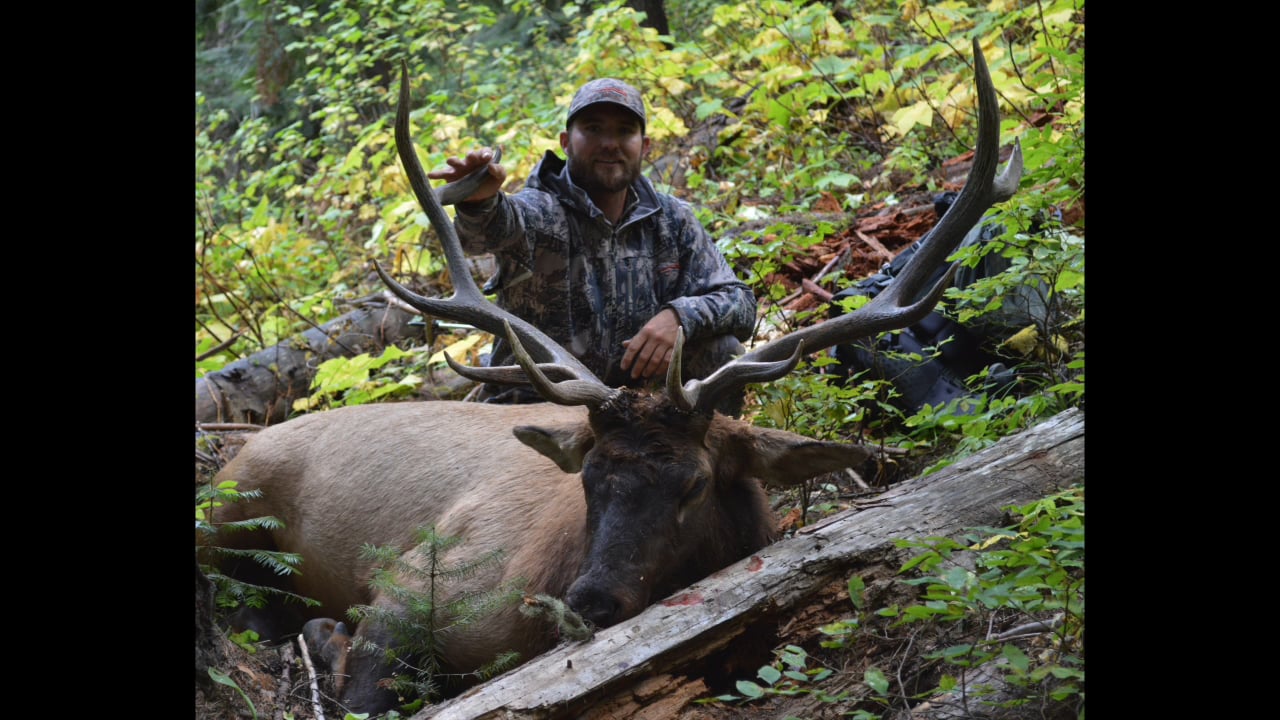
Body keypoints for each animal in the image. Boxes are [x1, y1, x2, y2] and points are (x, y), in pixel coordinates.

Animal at [204, 39, 1022, 714]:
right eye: (589, 479)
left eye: (694, 484)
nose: (586, 602)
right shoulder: (411, 587)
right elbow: (366, 692)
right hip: (227, 510)